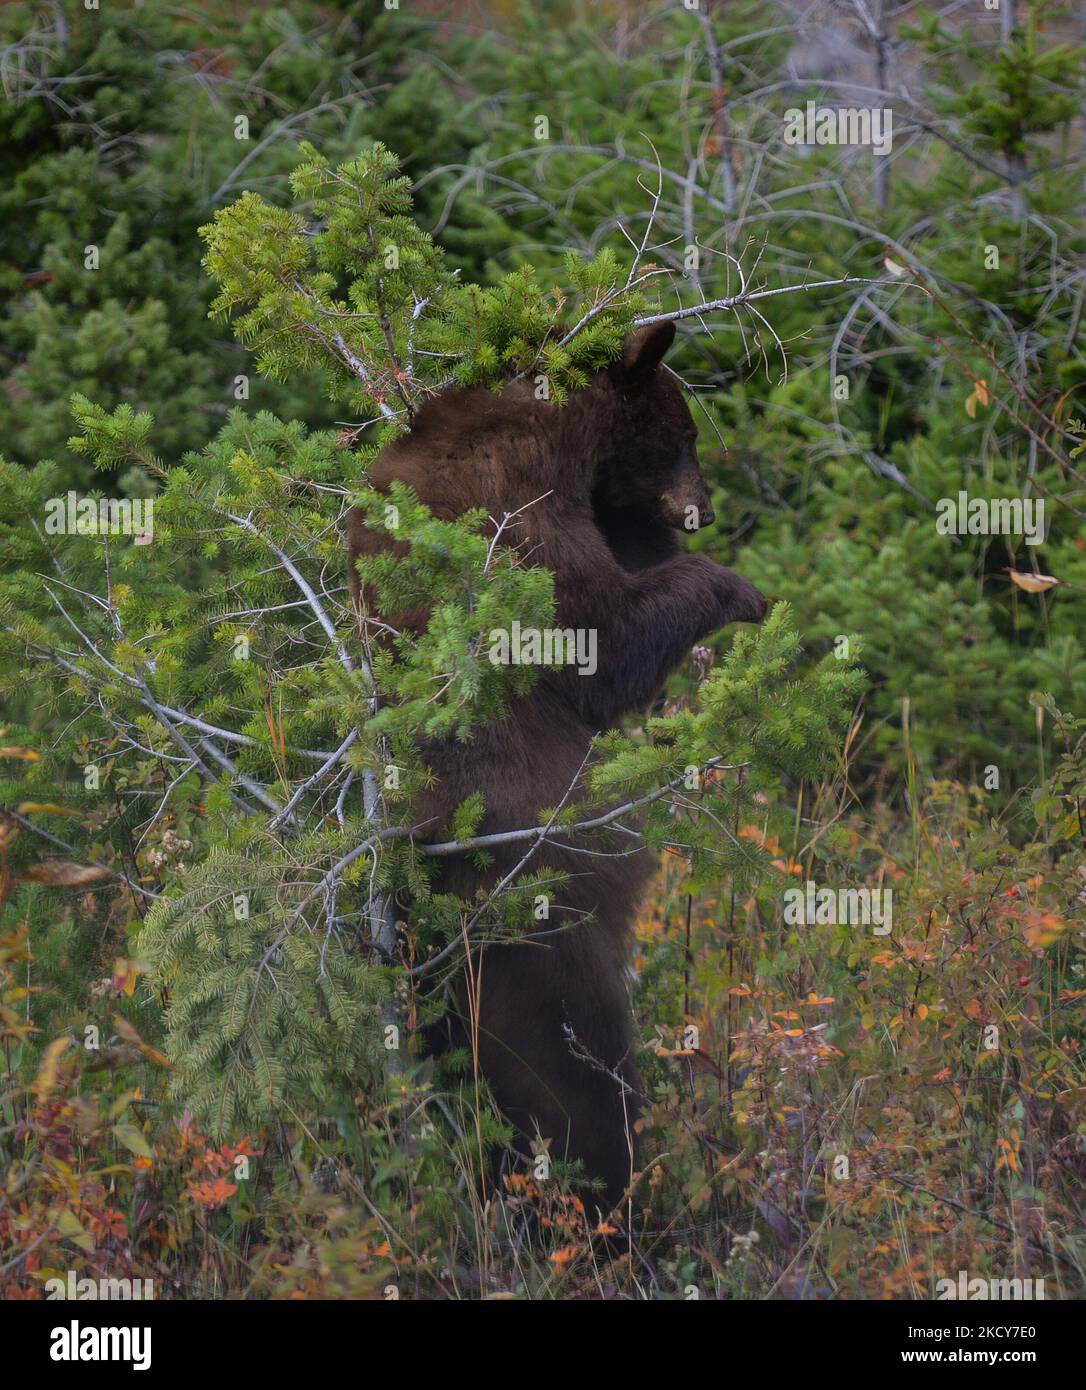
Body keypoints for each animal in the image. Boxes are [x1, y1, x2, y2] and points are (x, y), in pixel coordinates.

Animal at [348, 321, 766, 1213]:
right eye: (686, 435)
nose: (707, 510)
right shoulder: (520, 513)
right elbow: (601, 637)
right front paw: (737, 589)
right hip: (550, 940)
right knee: (581, 1080)